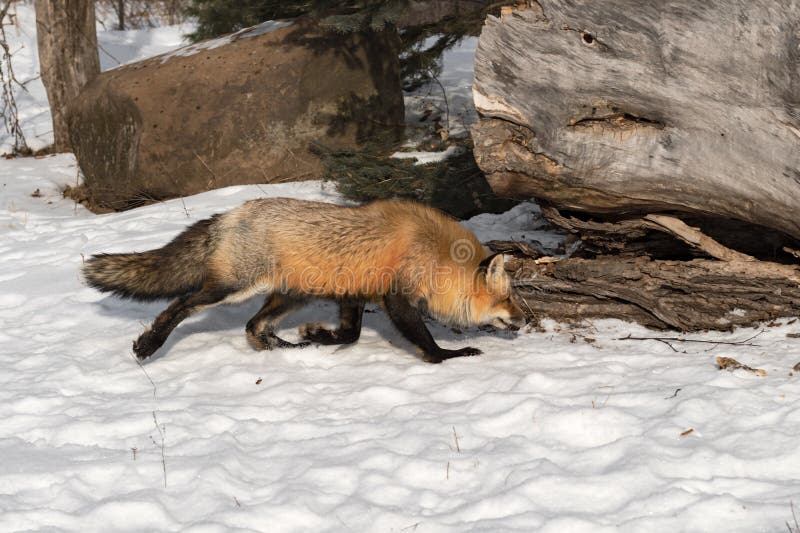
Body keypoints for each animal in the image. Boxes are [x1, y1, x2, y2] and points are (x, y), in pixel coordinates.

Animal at [82, 198, 526, 363]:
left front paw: (316, 336)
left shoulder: (353, 291)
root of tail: (231, 213)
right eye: (509, 299)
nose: (526, 321)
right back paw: (149, 344)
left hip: (292, 295)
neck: (434, 253)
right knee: (181, 305)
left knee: (252, 327)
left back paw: (286, 348)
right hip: (233, 288)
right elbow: (424, 341)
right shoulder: (395, 297)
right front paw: (450, 356)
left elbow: (350, 334)